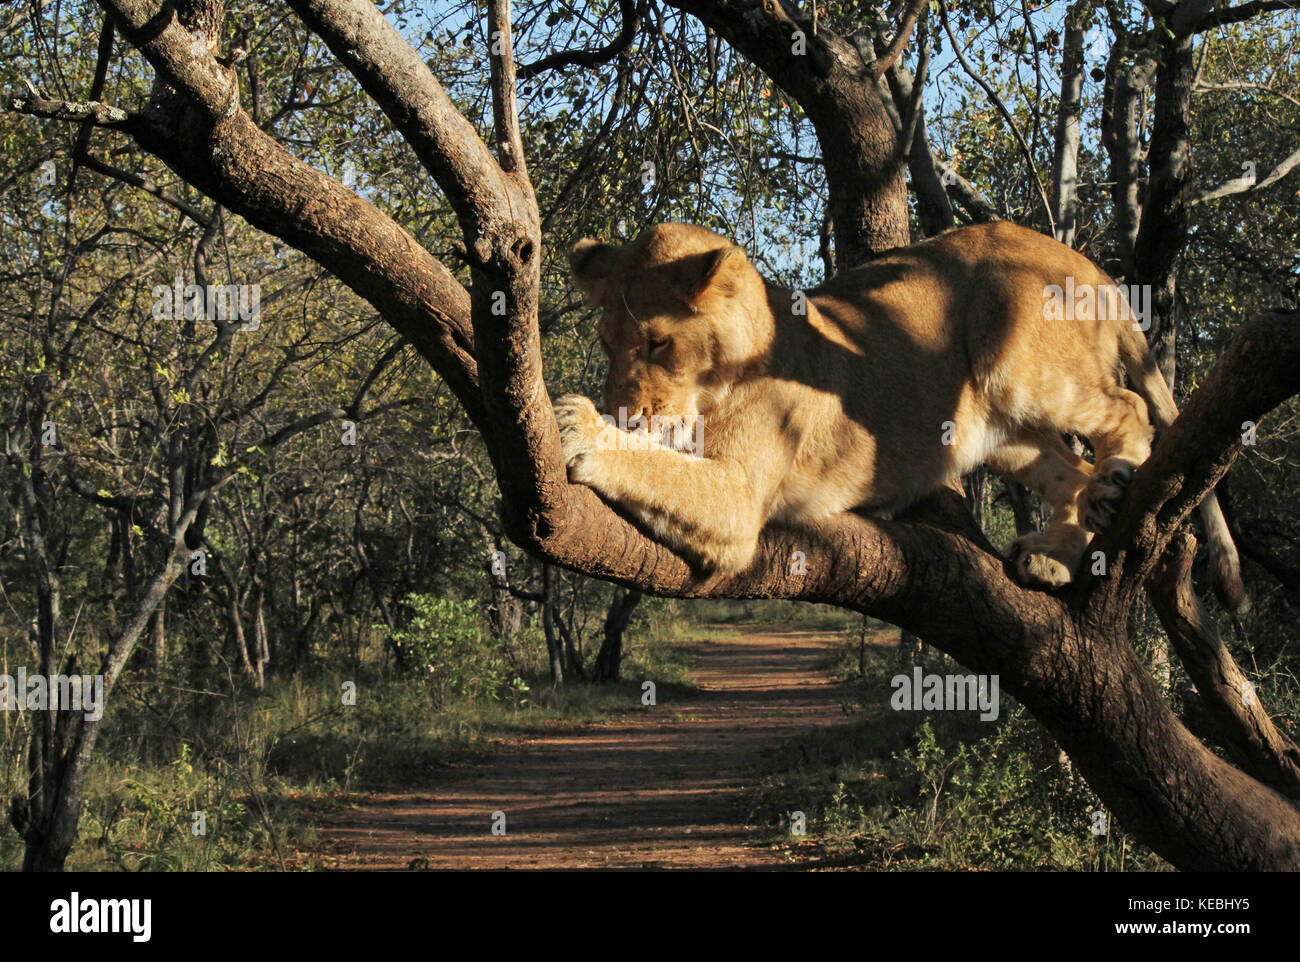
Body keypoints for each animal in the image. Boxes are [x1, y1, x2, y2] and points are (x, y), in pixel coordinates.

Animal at [551, 220, 1243, 607]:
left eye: (657, 343)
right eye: (607, 345)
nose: (623, 409)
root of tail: (1091, 265)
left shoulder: (742, 499)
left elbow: (662, 468)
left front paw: (582, 425)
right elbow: (664, 460)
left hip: (1020, 364)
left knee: (1128, 408)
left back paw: (1115, 481)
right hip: (1003, 432)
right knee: (1067, 472)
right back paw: (1056, 551)